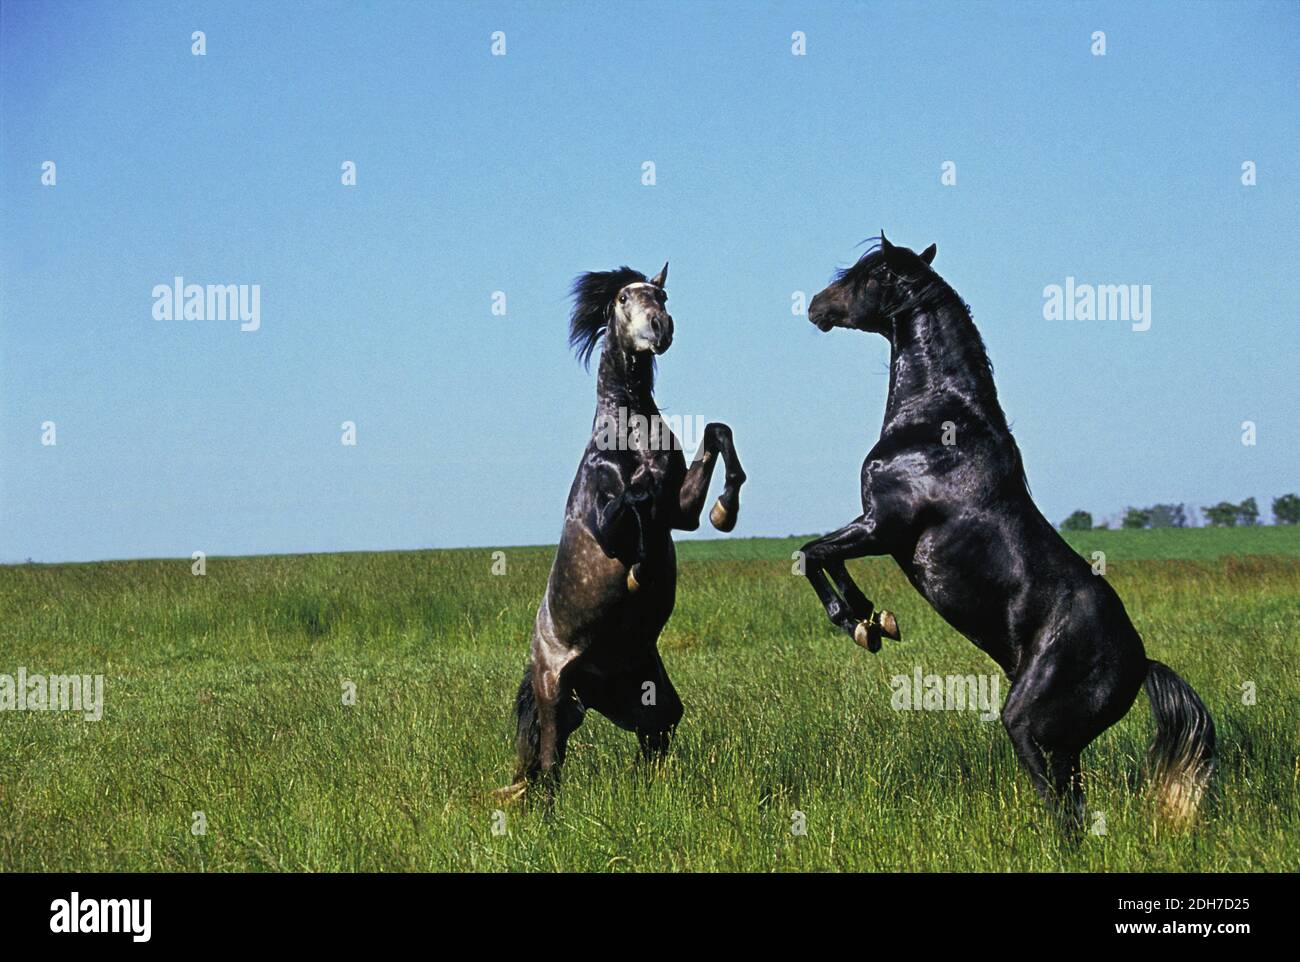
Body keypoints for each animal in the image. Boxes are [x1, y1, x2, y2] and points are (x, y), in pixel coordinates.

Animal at [497, 262, 746, 799]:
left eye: (662, 296)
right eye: (623, 299)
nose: (660, 327)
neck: (628, 432)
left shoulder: (679, 512)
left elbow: (716, 432)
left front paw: (725, 511)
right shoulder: (610, 528)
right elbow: (634, 504)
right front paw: (638, 571)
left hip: (639, 698)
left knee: (654, 738)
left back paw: (645, 793)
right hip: (555, 695)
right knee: (549, 768)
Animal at [800, 234, 1215, 828]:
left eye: (869, 274)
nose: (816, 304)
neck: (937, 425)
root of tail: (1141, 665)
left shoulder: (883, 527)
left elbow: (813, 554)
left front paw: (859, 622)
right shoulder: (876, 531)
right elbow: (825, 556)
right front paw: (874, 621)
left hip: (1029, 723)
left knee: (1061, 808)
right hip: (1066, 744)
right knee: (1072, 801)